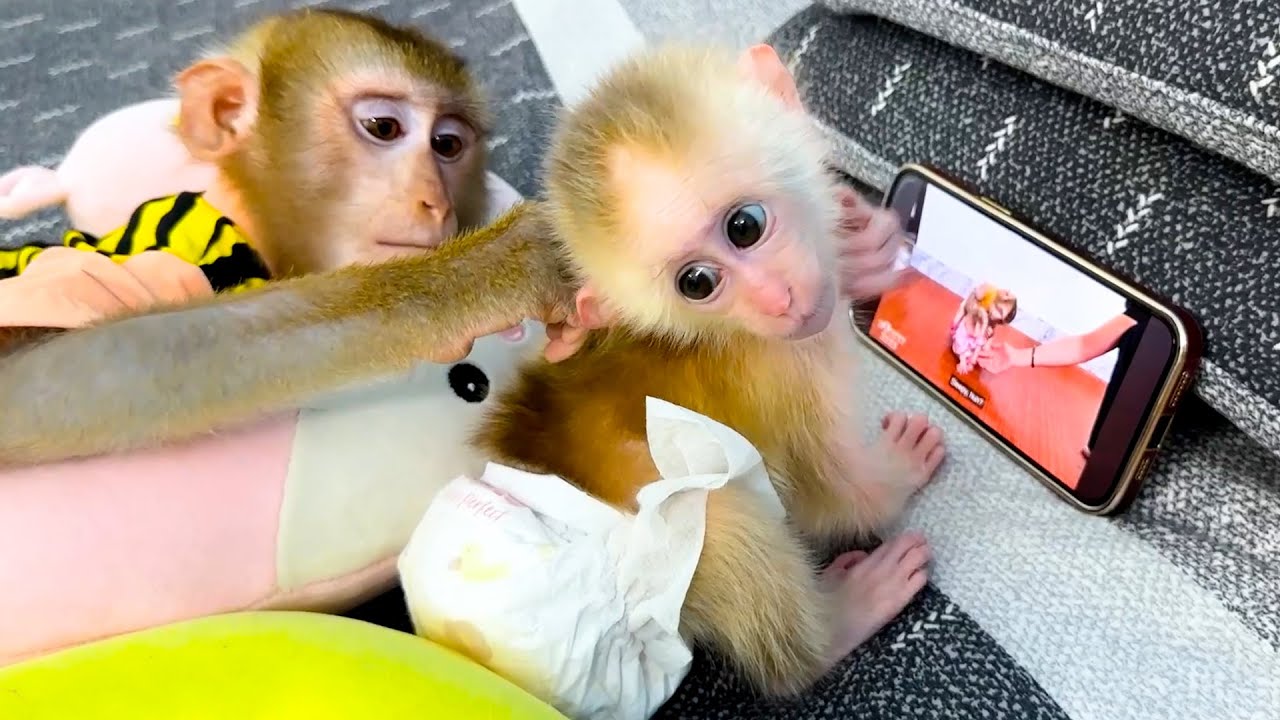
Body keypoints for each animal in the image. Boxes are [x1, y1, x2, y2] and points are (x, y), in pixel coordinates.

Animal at [0, 42, 943, 698]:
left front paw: (870, 244)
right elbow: (833, 492)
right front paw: (892, 478)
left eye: (746, 225)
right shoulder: (796, 368)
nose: (781, 300)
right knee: (721, 515)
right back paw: (832, 631)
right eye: (698, 283)